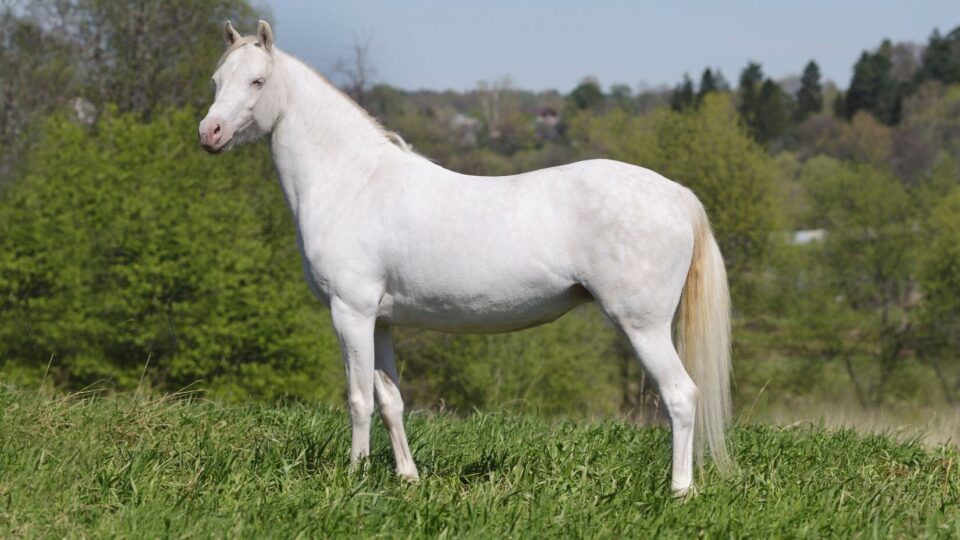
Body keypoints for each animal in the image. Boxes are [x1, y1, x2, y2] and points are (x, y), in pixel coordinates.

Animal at [199, 20, 732, 495]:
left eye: (258, 81)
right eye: (217, 80)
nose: (210, 133)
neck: (353, 181)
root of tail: (675, 193)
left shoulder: (350, 313)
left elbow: (358, 400)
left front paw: (353, 477)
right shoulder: (380, 320)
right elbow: (390, 400)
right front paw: (407, 478)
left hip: (643, 326)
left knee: (681, 396)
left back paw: (679, 490)